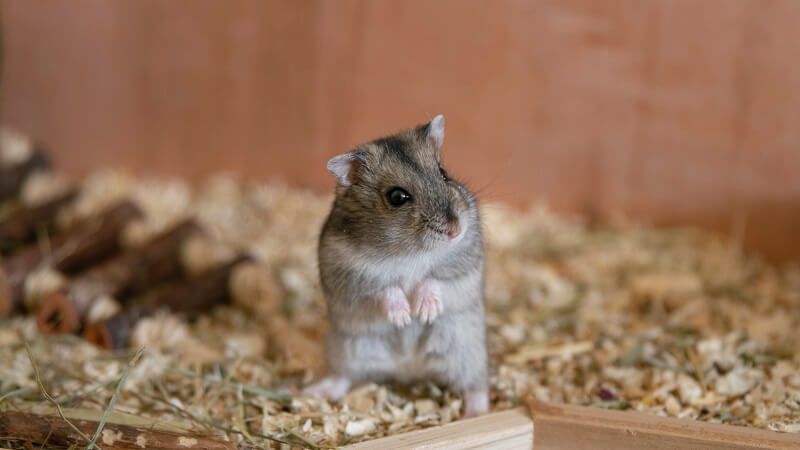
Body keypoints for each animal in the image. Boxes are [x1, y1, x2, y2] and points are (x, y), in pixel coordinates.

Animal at [302, 115, 489, 418]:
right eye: (397, 197)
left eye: (443, 173)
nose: (455, 230)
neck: (410, 251)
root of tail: (408, 369)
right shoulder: (351, 276)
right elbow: (385, 288)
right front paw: (403, 317)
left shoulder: (465, 263)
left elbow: (434, 279)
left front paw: (423, 312)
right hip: (348, 349)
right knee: (344, 376)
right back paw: (312, 392)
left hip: (467, 351)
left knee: (476, 386)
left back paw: (476, 414)